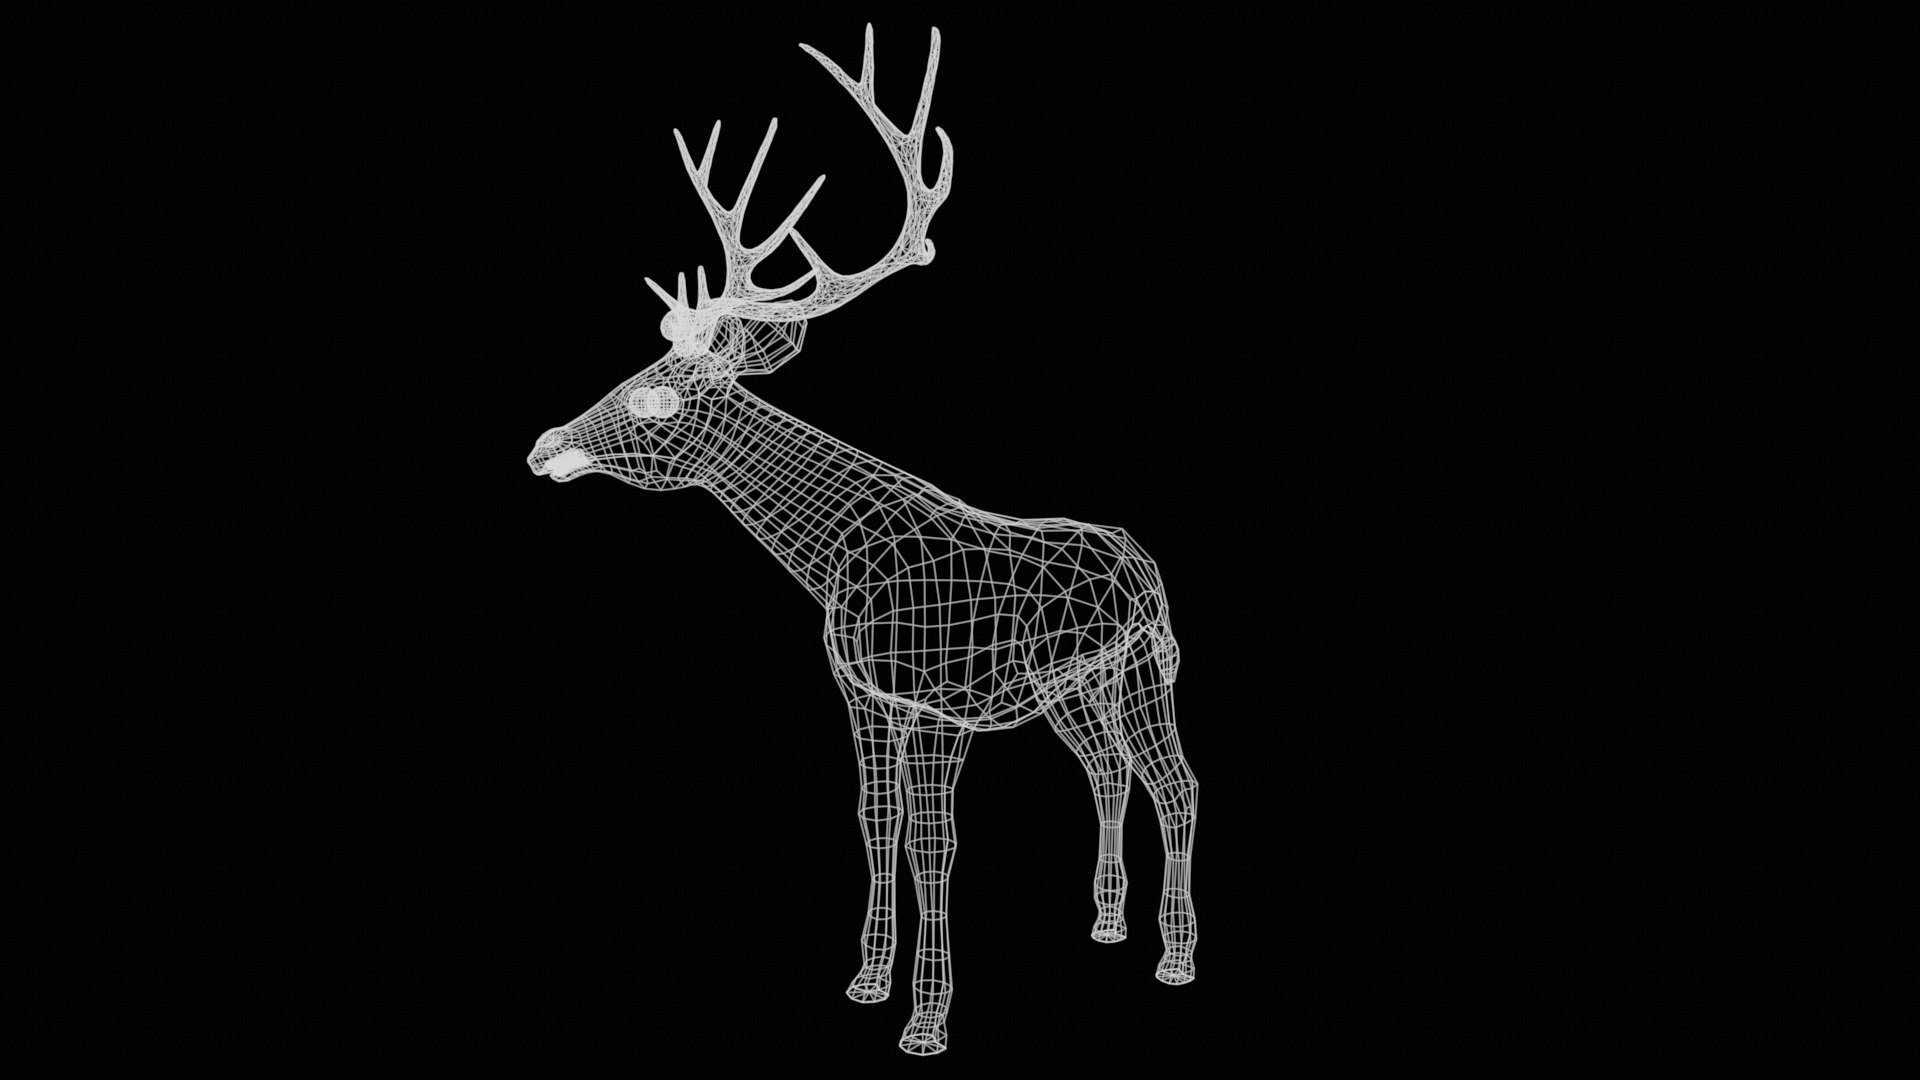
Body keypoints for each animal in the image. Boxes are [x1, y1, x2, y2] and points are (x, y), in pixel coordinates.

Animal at [525, 25, 1198, 1056]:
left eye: (656, 395)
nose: (543, 445)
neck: (844, 558)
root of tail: (1144, 557)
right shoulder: (863, 693)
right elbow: (875, 826)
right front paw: (868, 981)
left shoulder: (944, 699)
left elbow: (935, 844)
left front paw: (927, 1020)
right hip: (1072, 689)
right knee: (1109, 772)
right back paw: (1110, 923)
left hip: (1141, 667)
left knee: (1175, 782)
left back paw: (1175, 956)